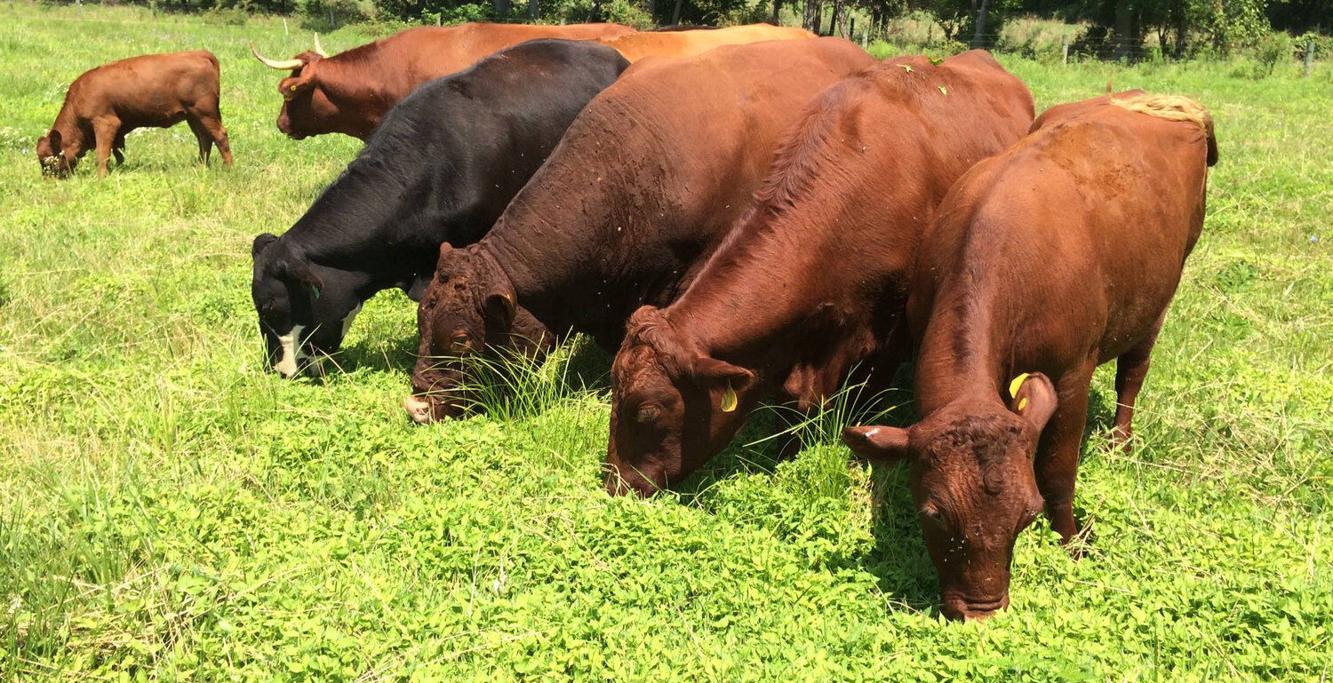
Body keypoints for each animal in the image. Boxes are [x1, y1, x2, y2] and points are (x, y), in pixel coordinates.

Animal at [36, 50, 231, 178]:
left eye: (47, 159)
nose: (47, 180)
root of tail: (199, 53)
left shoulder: (105, 122)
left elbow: (102, 154)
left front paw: (101, 177)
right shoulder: (117, 128)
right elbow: (117, 153)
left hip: (205, 112)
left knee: (220, 136)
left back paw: (228, 168)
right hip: (193, 116)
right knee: (204, 139)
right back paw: (201, 166)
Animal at [841, 93, 1217, 621]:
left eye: (1028, 514)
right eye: (931, 515)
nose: (981, 611)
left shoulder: (1072, 371)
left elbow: (1059, 469)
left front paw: (1072, 541)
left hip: (1164, 289)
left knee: (1134, 370)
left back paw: (1120, 441)